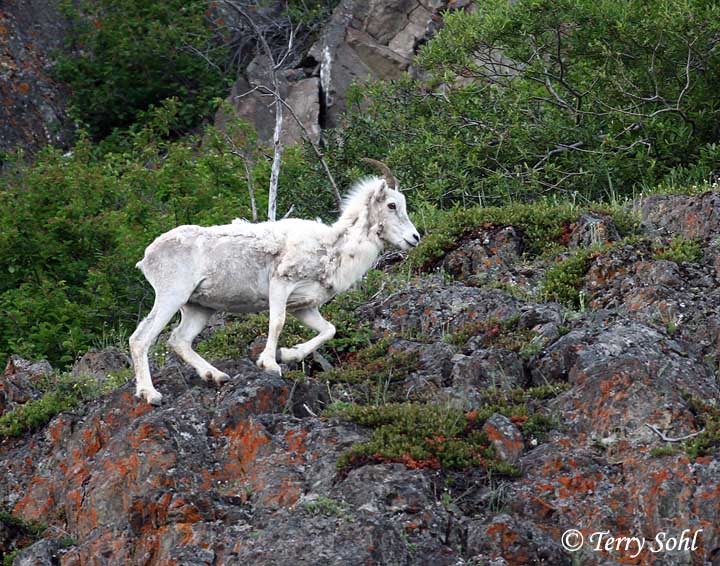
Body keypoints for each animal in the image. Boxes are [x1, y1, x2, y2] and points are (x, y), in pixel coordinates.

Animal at [130, 160, 420, 405]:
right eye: (392, 205)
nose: (415, 238)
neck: (333, 248)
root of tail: (147, 257)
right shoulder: (281, 285)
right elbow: (277, 322)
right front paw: (269, 363)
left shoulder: (304, 306)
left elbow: (329, 330)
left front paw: (288, 355)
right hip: (171, 297)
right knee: (141, 339)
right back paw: (151, 395)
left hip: (198, 308)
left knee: (179, 340)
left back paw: (217, 376)